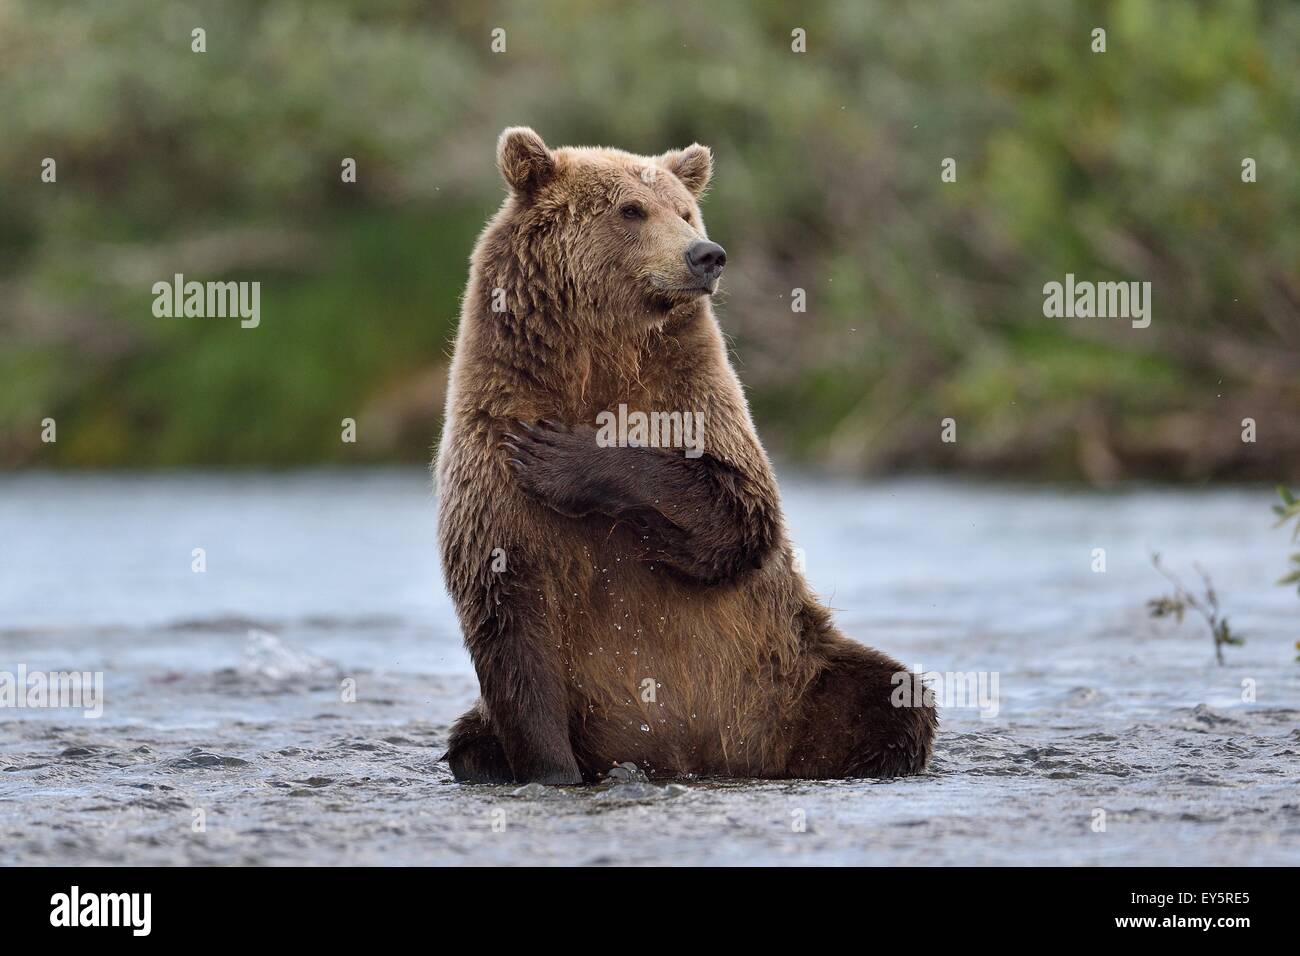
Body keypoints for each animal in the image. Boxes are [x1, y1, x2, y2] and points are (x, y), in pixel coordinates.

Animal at [435, 127, 936, 784]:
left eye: (685, 210)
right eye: (631, 210)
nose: (707, 255)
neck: (595, 356)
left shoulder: (692, 393)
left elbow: (738, 508)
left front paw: (565, 455)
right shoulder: (493, 462)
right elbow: (513, 632)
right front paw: (552, 770)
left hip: (795, 678)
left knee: (894, 696)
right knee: (471, 739)